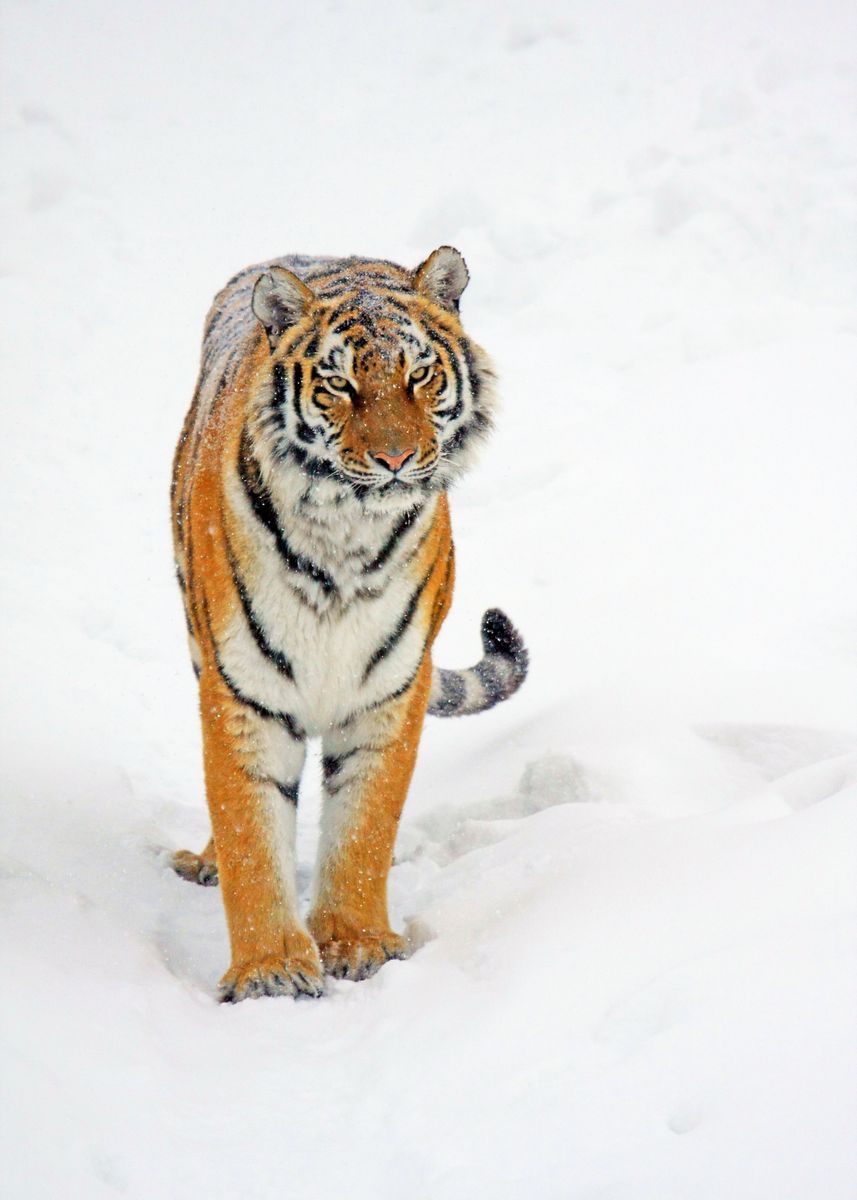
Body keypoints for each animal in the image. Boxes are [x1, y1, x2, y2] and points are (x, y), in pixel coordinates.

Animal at [170, 245, 528, 1002]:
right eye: (338, 383)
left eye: (418, 375)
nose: (395, 459)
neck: (346, 537)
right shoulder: (241, 691)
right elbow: (249, 830)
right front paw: (270, 968)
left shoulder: (388, 692)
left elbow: (363, 826)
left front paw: (354, 942)